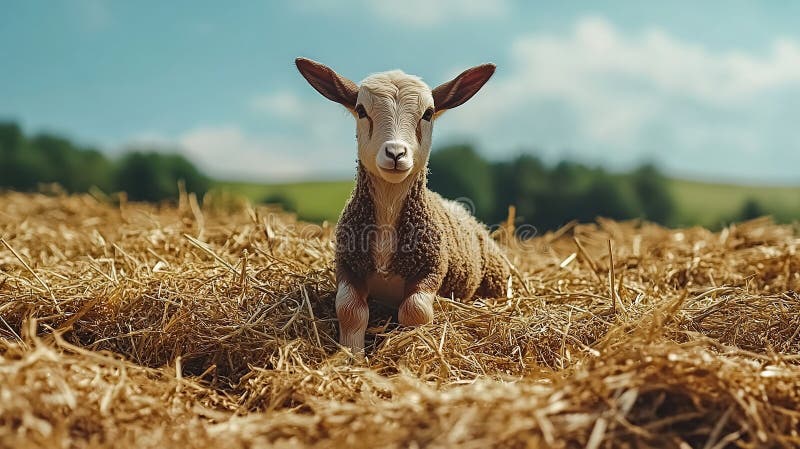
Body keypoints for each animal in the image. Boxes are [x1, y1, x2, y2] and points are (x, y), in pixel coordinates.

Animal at [295, 57, 511, 351]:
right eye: (361, 110)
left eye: (428, 113)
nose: (395, 153)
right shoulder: (348, 265)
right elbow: (350, 311)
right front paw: (351, 354)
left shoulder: (432, 267)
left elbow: (415, 310)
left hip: (495, 279)